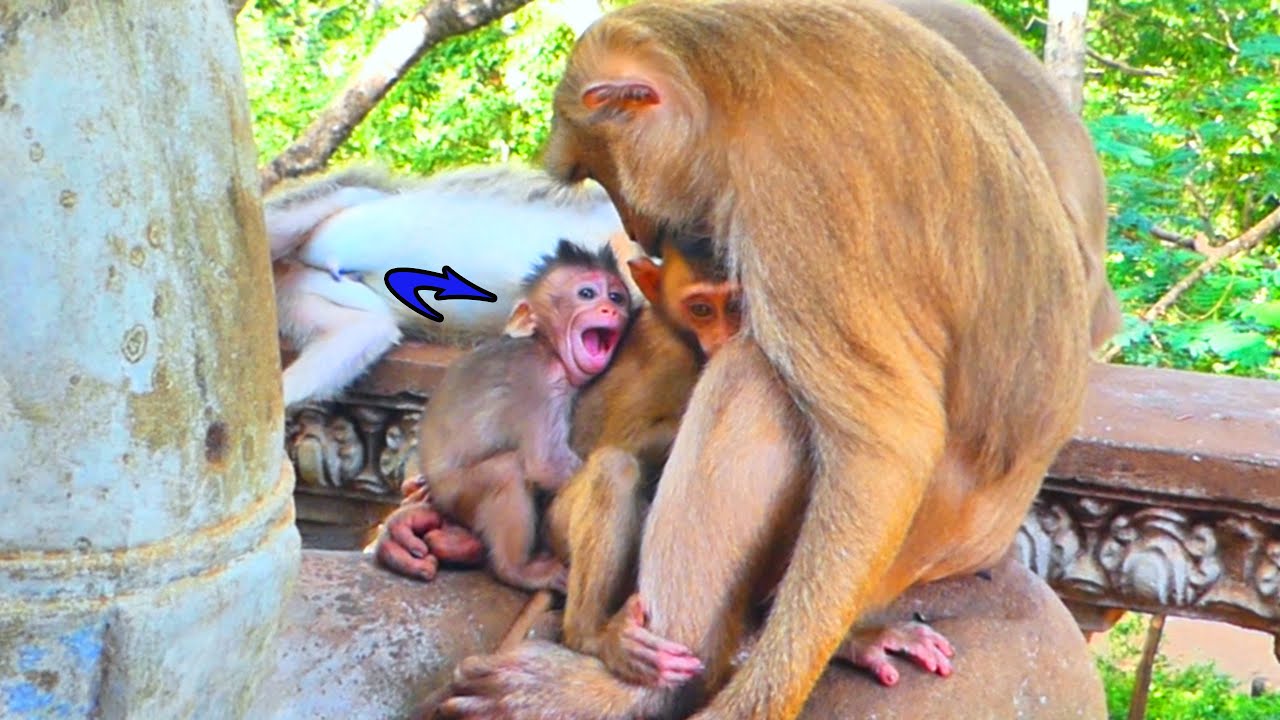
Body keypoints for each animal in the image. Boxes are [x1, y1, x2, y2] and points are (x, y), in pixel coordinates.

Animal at [381, 240, 631, 593]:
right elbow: (544, 463)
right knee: (506, 471)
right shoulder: (539, 381)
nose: (611, 309)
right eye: (587, 293)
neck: (545, 346)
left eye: (616, 296)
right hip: (458, 492)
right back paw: (516, 569)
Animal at [432, 0, 1105, 718]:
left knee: (752, 378)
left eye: (606, 165)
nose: (637, 229)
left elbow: (889, 445)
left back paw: (632, 687)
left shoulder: (795, 187)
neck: (728, 97)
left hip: (930, 535)